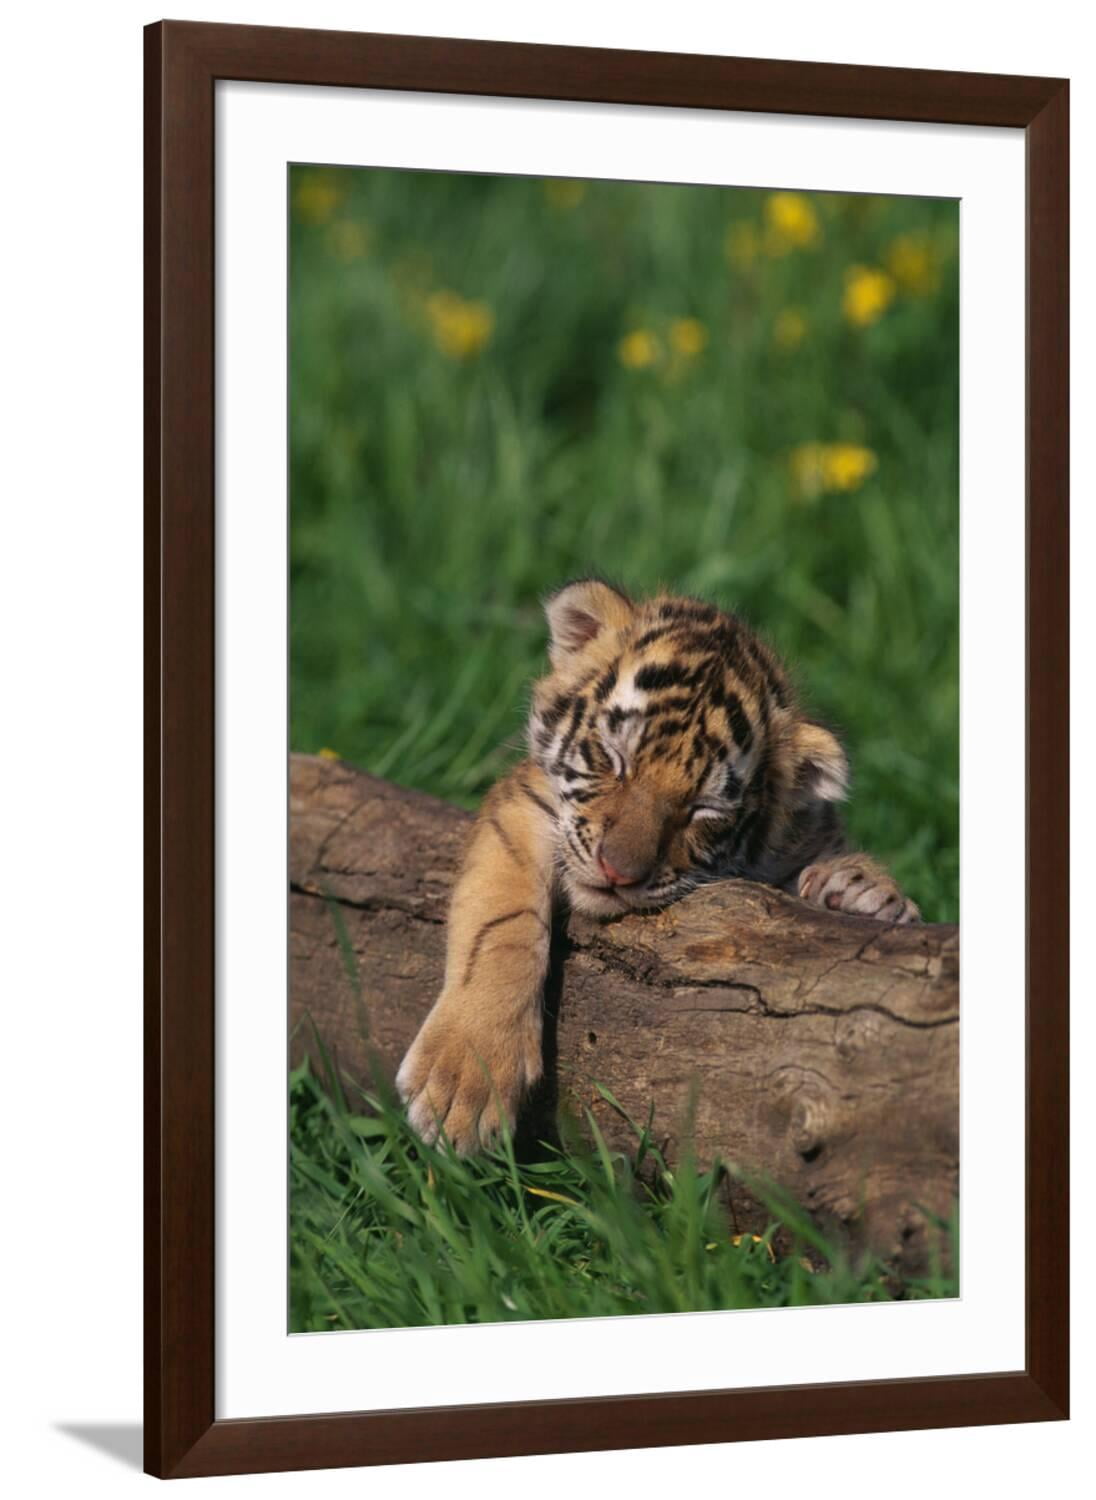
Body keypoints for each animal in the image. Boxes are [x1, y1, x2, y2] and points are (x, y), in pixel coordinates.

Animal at [397, 578, 920, 1154]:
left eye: (703, 808)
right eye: (612, 759)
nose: (618, 872)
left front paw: (862, 890)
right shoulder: (523, 805)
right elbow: (500, 923)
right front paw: (463, 1085)